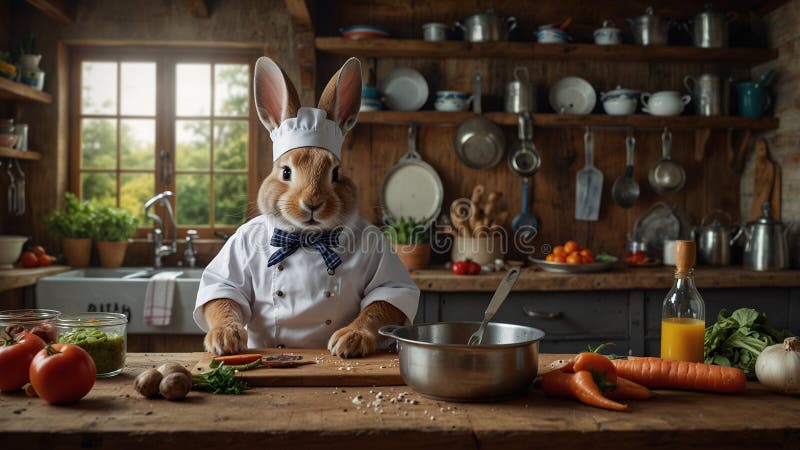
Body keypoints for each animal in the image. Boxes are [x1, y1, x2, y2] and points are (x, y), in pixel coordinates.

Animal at [199, 56, 416, 358]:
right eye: (286, 172)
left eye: (335, 173)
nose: (312, 203)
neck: (306, 240)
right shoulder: (234, 259)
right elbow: (223, 297)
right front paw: (225, 337)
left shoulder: (385, 267)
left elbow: (381, 303)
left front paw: (349, 339)